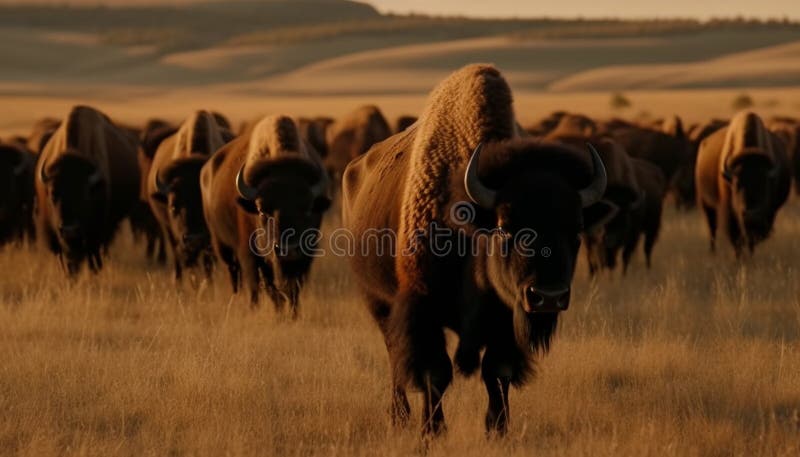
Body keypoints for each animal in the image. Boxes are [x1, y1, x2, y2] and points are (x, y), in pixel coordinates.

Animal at [201, 115, 331, 314]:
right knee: (236, 276)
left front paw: (293, 315)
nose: (288, 250)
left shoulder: (306, 256)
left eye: (308, 208)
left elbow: (293, 290)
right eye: (262, 210)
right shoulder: (250, 255)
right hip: (222, 245)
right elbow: (265, 288)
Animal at [343, 65, 614, 436]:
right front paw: (432, 430)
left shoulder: (507, 313)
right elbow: (435, 373)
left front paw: (497, 428)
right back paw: (399, 416)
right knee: (395, 355)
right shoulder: (422, 309)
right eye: (505, 227)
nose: (548, 297)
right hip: (377, 301)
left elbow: (496, 372)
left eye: (576, 231)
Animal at [696, 111, 791, 257]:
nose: (751, 215)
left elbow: (751, 240)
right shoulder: (730, 214)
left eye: (764, 184)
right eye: (736, 185)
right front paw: (739, 258)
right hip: (706, 204)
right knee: (712, 229)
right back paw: (713, 252)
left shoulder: (768, 214)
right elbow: (736, 239)